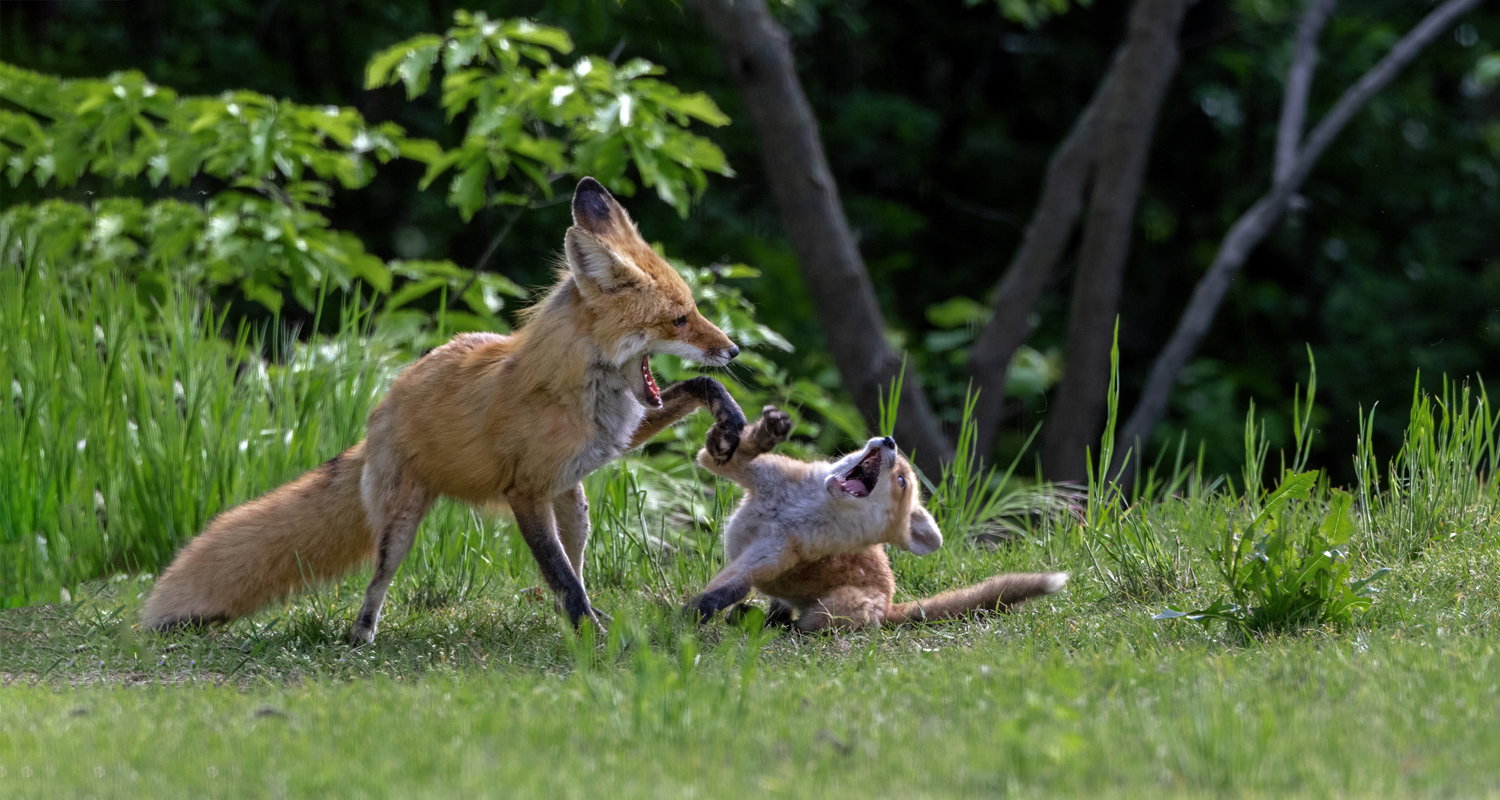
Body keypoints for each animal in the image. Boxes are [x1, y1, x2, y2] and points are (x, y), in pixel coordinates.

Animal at [143, 177, 749, 645]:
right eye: (678, 320)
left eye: (693, 309)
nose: (734, 351)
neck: (579, 390)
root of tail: (385, 406)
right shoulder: (524, 492)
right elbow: (559, 577)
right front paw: (592, 638)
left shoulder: (613, 438)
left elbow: (695, 388)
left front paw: (730, 416)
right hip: (402, 525)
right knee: (379, 580)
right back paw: (361, 634)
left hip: (574, 505)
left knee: (575, 563)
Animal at [686, 406, 1067, 631]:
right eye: (899, 473)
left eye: (901, 482)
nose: (890, 439)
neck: (796, 506)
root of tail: (890, 603)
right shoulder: (750, 475)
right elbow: (719, 455)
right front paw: (766, 429)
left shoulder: (774, 553)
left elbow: (722, 591)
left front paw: (686, 620)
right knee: (777, 611)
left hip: (835, 607)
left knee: (803, 625)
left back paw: (777, 627)